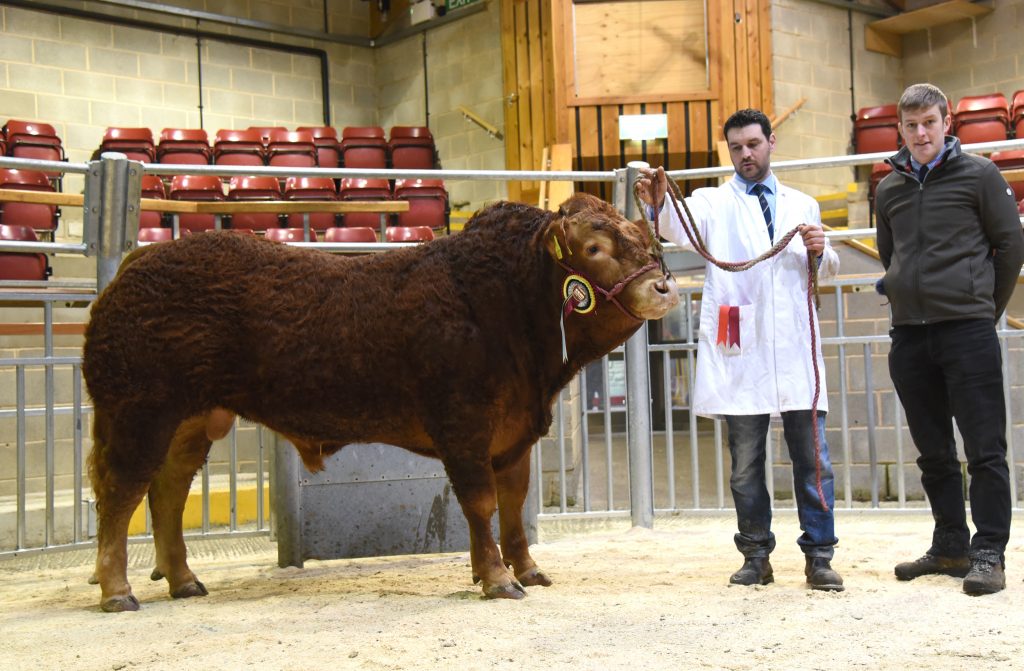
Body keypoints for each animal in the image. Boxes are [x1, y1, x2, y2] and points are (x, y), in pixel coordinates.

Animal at [82, 193, 679, 612]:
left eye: (640, 237)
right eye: (595, 249)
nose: (664, 288)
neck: (501, 301)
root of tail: (138, 262)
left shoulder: (515, 435)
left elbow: (513, 505)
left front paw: (527, 569)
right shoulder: (463, 426)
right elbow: (481, 504)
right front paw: (497, 579)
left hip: (191, 420)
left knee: (167, 492)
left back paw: (182, 579)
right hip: (137, 413)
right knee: (121, 494)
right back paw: (117, 590)